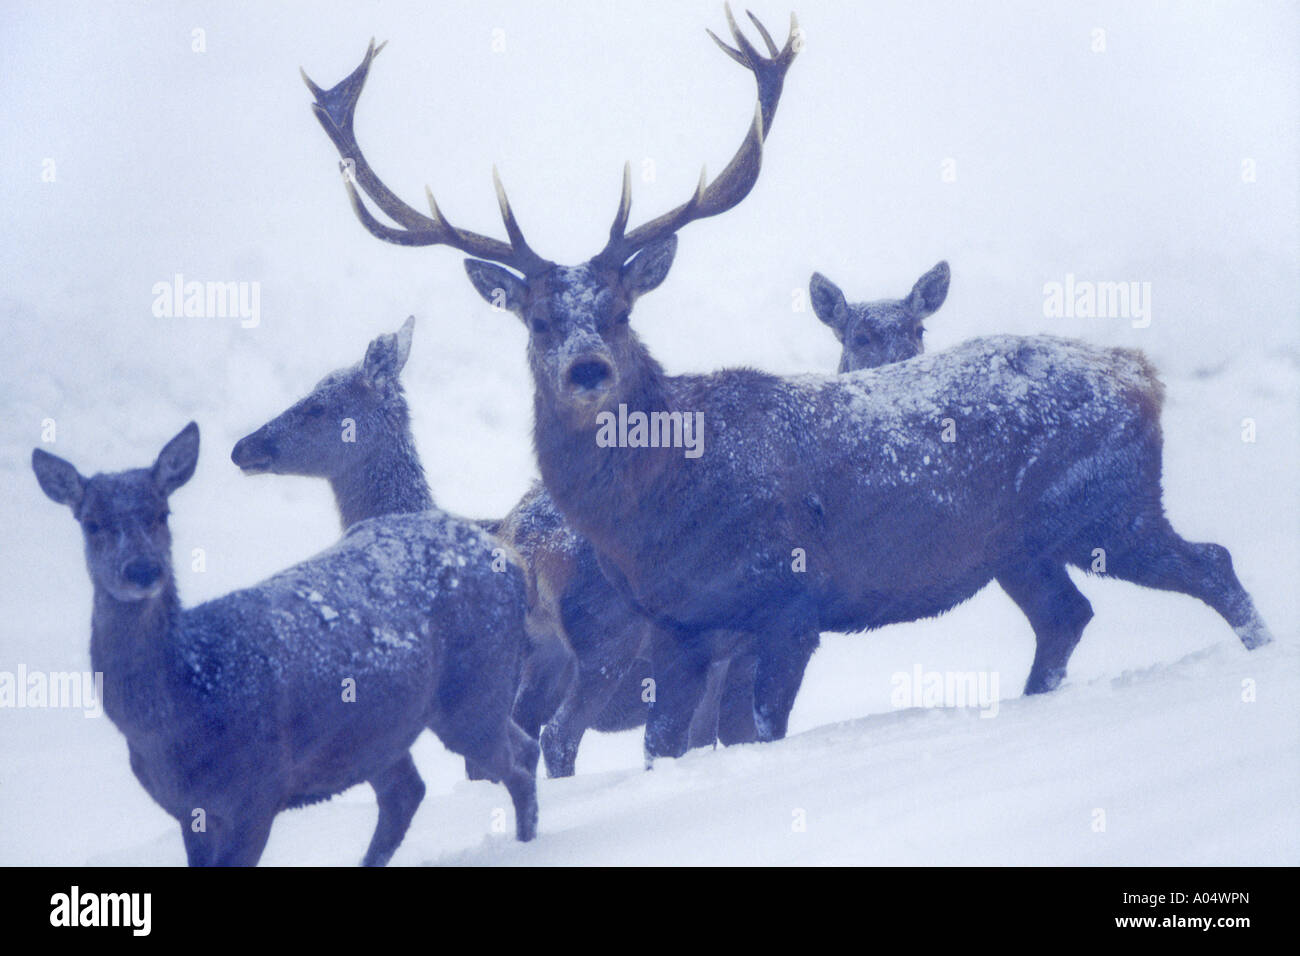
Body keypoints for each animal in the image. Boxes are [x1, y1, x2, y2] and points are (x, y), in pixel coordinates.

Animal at [33, 423, 539, 865]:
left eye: (162, 513)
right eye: (91, 523)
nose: (142, 570)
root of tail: (510, 562)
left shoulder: (255, 792)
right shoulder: (188, 809)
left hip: (473, 688)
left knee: (512, 763)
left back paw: (526, 846)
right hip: (379, 731)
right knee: (418, 787)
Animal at [303, 5, 1273, 766]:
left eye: (618, 308)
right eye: (536, 320)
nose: (587, 369)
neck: (662, 506)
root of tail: (1141, 372)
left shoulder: (791, 601)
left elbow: (754, 733)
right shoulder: (679, 624)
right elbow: (664, 746)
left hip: (1107, 502)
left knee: (1214, 565)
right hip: (1025, 545)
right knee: (1067, 616)